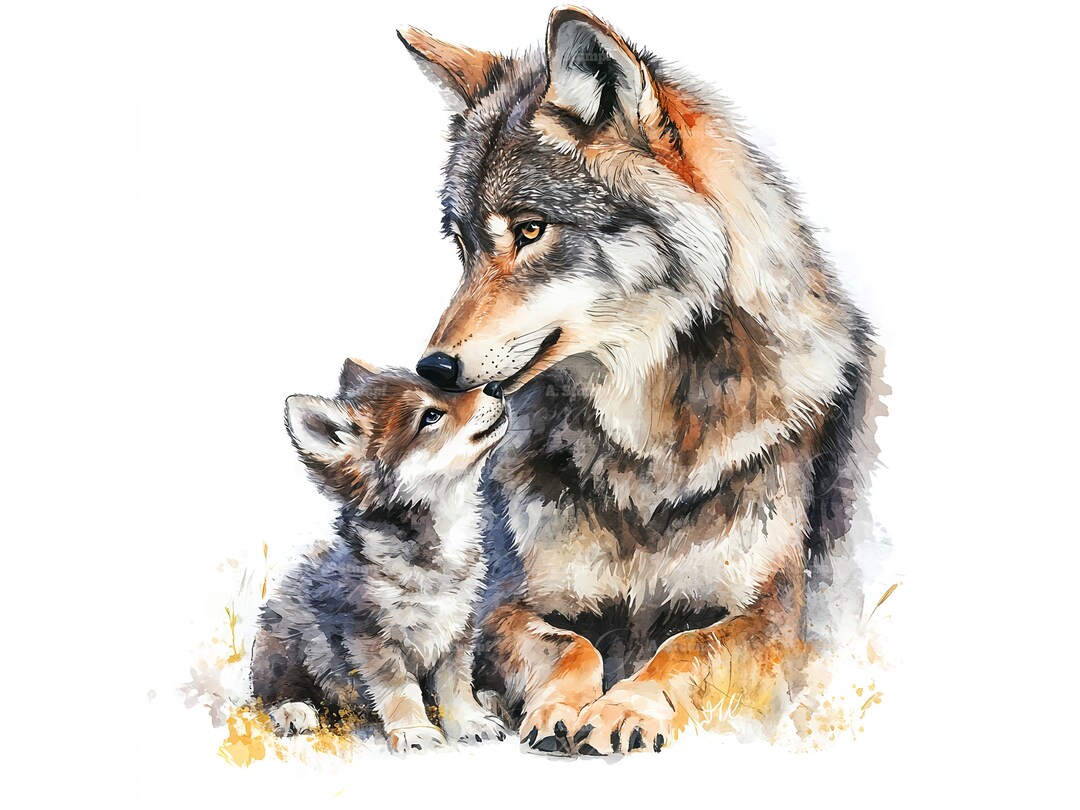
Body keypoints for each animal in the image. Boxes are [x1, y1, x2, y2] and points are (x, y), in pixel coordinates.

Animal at [251, 360, 509, 753]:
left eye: (448, 391)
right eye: (430, 416)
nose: (496, 387)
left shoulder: (458, 629)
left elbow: (455, 683)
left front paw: (469, 720)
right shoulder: (372, 636)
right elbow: (399, 689)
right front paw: (415, 730)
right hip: (283, 639)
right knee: (274, 690)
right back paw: (294, 710)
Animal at [398, 6, 876, 755]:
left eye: (530, 230)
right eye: (463, 245)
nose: (433, 369)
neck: (648, 449)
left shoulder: (773, 619)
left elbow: (684, 648)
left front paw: (626, 707)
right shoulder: (509, 602)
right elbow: (574, 647)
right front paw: (562, 708)